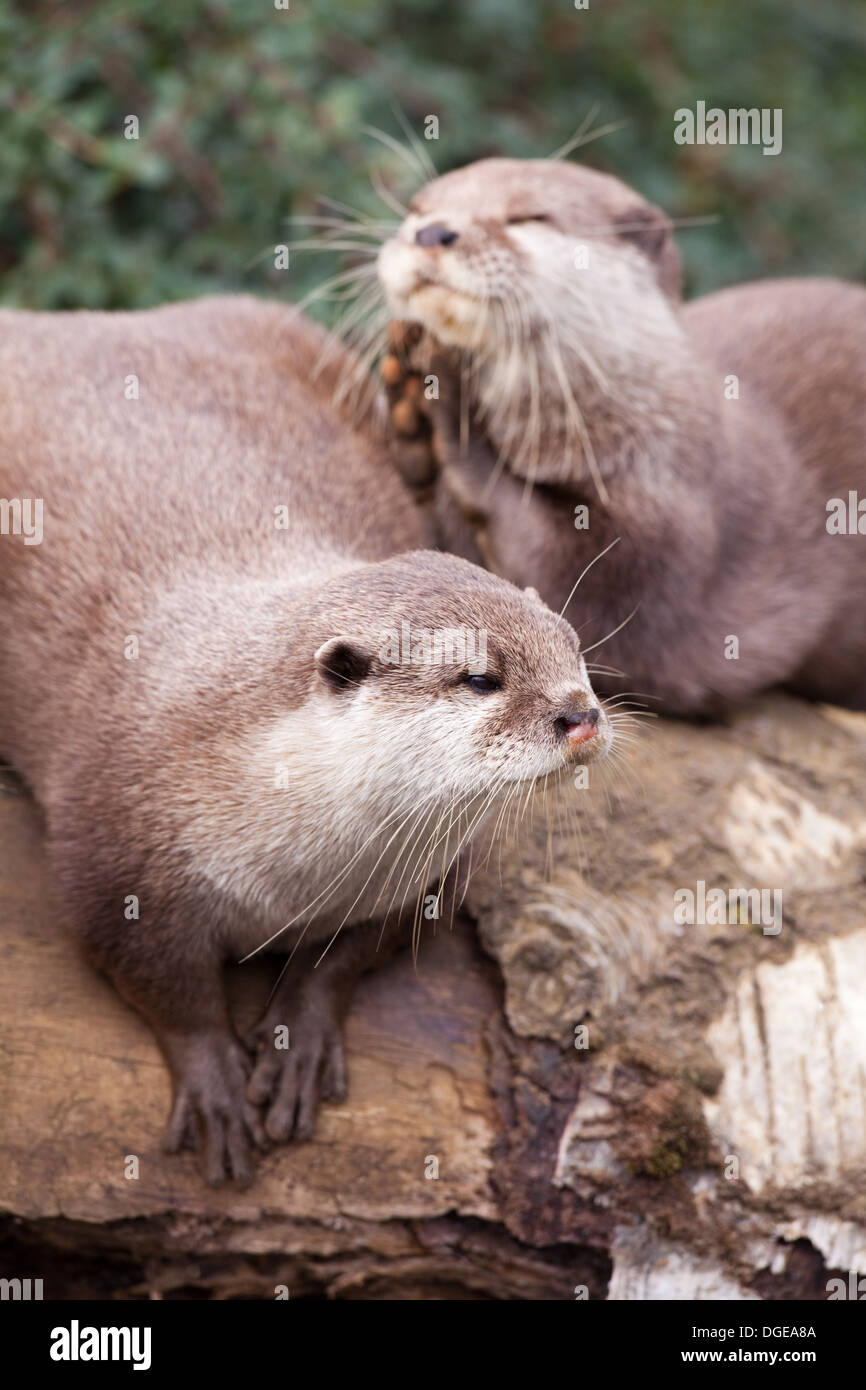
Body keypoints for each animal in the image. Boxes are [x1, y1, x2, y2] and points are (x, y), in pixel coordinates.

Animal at [0, 295, 611, 1184]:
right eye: (480, 677)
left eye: (574, 648)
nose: (581, 713)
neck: (292, 869)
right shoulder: (113, 849)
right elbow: (161, 981)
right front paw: (214, 1082)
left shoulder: (426, 874)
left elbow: (352, 953)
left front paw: (300, 1040)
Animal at [377, 157, 866, 716]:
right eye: (418, 208)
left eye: (530, 217)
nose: (432, 231)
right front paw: (408, 413)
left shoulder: (668, 531)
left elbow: (569, 584)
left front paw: (448, 399)